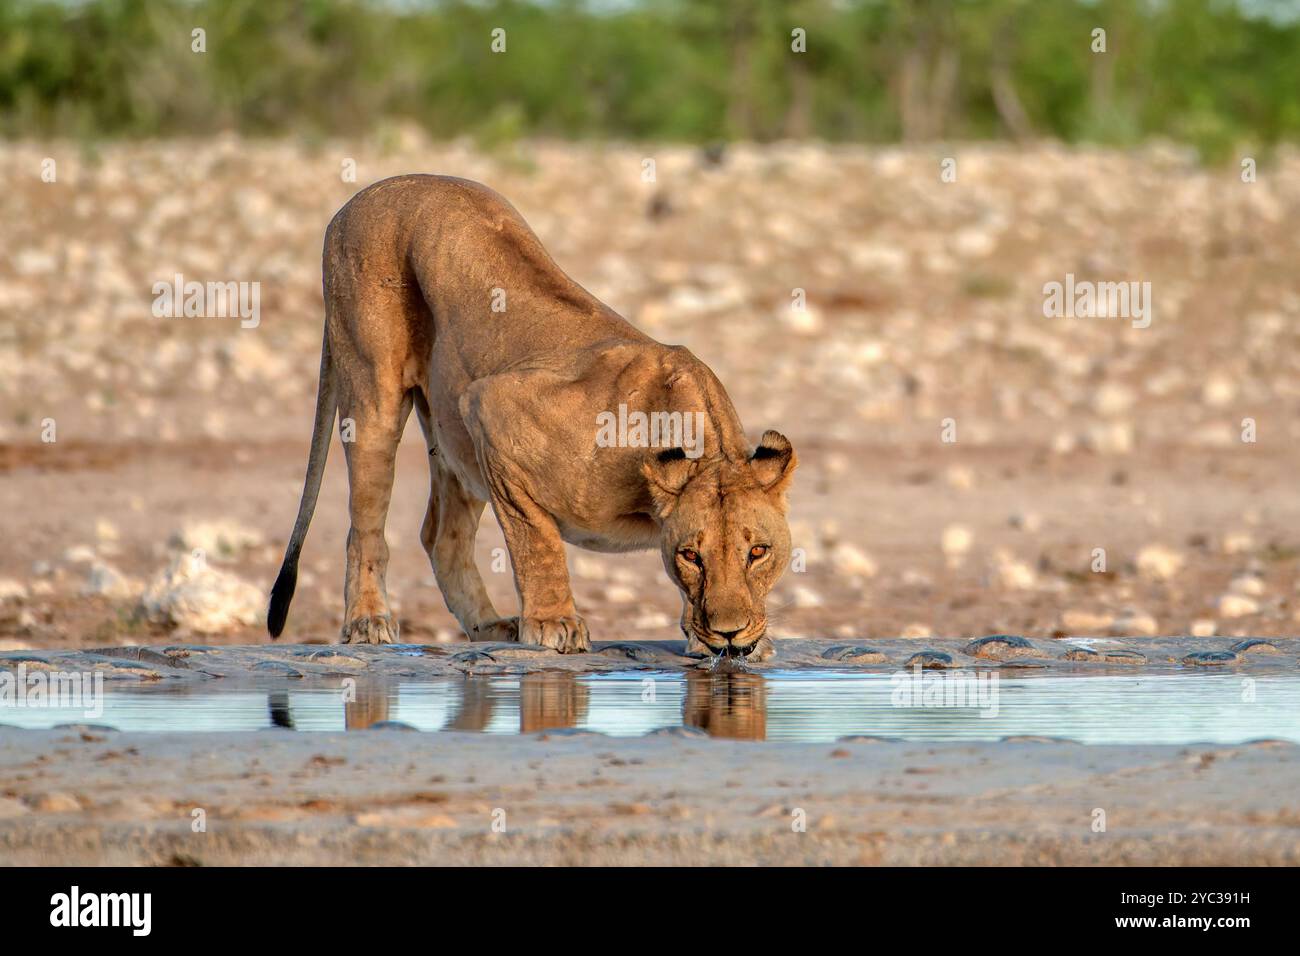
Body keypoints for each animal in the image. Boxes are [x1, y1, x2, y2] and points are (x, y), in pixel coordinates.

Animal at [267, 175, 797, 659]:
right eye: (691, 555)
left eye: (758, 552)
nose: (730, 633)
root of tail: (357, 198)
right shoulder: (492, 410)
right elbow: (536, 542)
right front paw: (553, 623)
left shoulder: (475, 422)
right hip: (374, 392)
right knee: (365, 528)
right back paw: (368, 621)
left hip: (452, 435)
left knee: (441, 537)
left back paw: (489, 626)